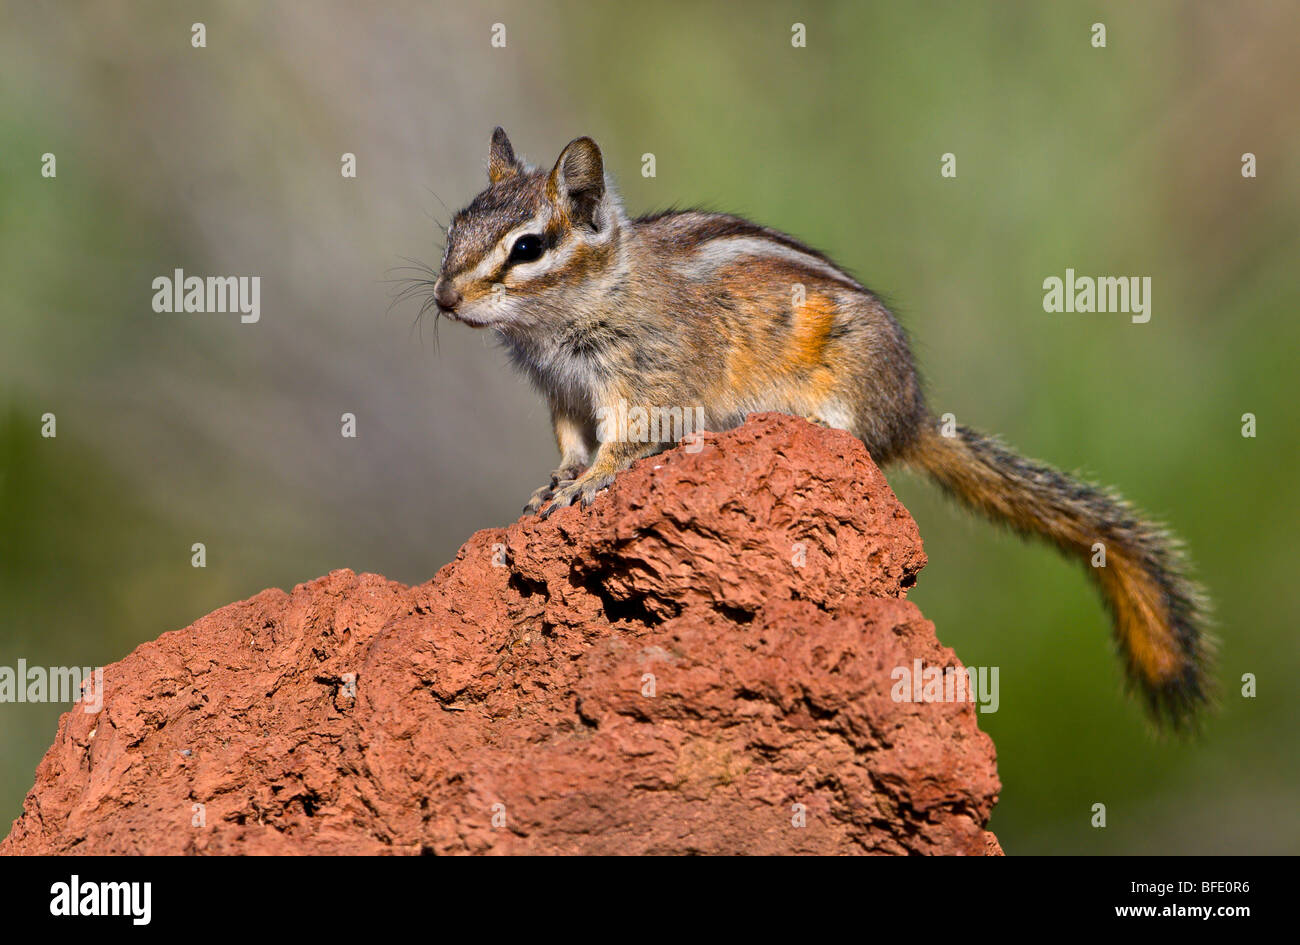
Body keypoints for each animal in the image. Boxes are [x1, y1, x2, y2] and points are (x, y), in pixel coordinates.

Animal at [427, 128, 1213, 728]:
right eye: (457, 226)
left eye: (528, 248)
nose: (444, 298)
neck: (586, 298)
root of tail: (912, 415)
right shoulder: (561, 392)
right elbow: (569, 439)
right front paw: (558, 480)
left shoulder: (647, 376)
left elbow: (627, 437)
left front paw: (592, 481)